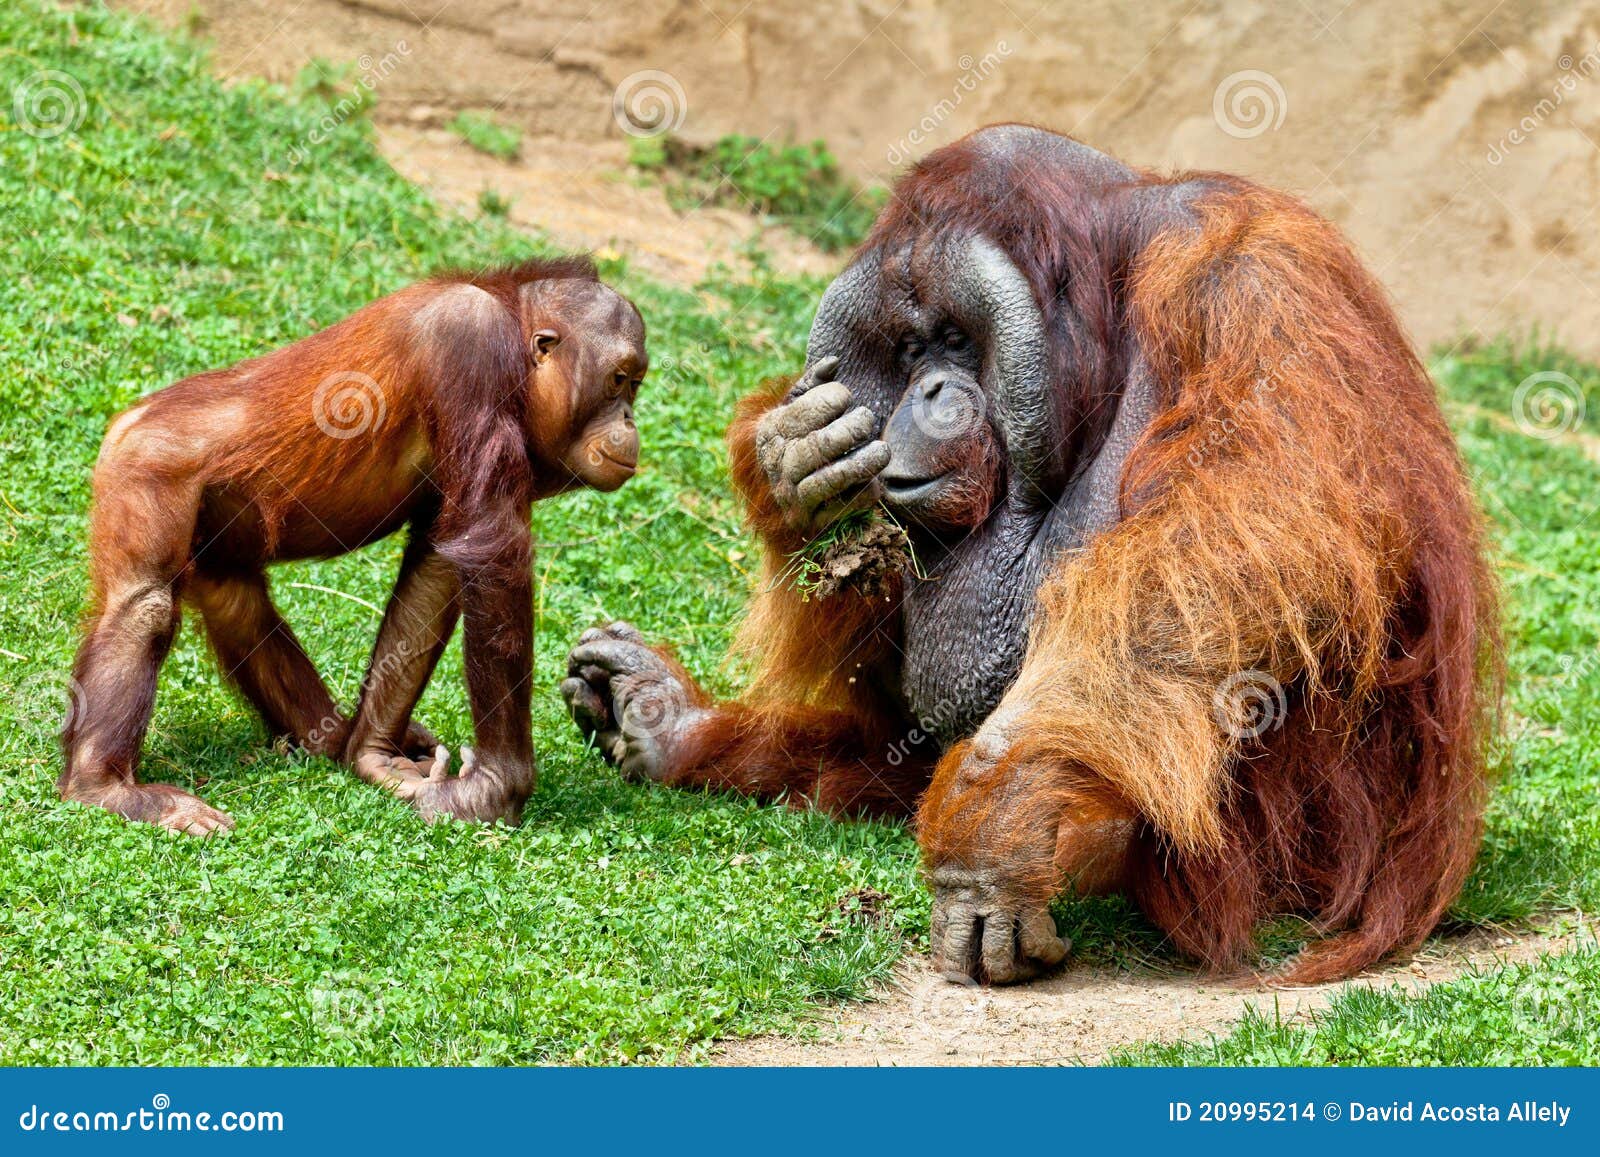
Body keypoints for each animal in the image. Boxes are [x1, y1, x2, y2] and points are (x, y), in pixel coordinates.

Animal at [61, 256, 646, 835]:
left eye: (634, 385)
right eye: (617, 381)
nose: (629, 418)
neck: (513, 328)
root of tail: (128, 418)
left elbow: (438, 562)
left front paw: (373, 754)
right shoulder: (470, 344)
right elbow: (491, 549)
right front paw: (496, 788)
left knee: (237, 602)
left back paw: (332, 736)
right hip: (145, 467)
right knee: (145, 605)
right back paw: (104, 787)